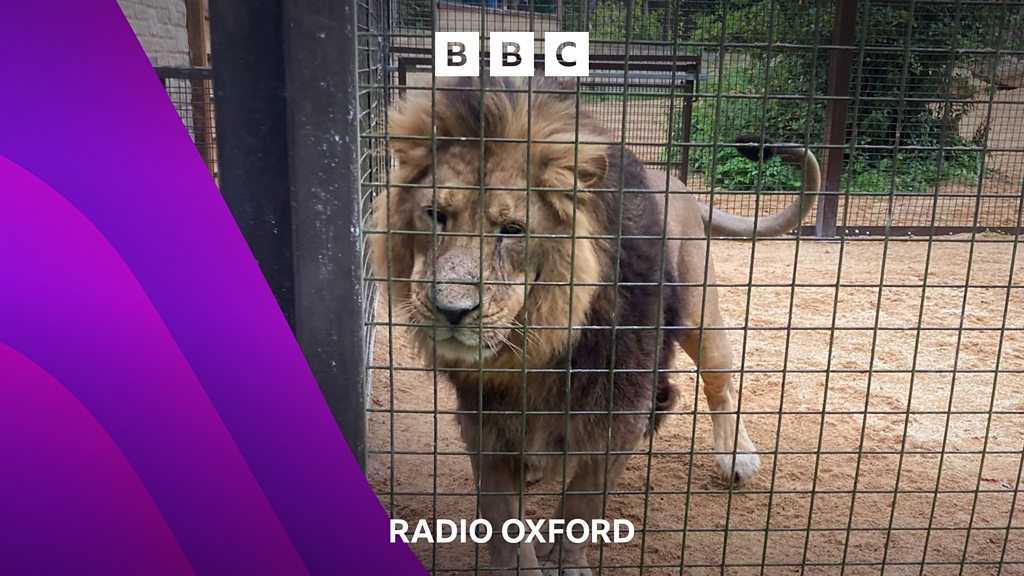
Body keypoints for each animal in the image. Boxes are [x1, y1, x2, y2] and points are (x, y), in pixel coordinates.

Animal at [370, 76, 820, 575]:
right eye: (436, 215)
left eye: (513, 229)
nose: (451, 310)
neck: (537, 348)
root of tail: (673, 180)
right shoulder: (483, 420)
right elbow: (502, 519)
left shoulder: (618, 413)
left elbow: (583, 504)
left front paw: (566, 562)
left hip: (699, 313)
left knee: (720, 381)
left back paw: (736, 456)